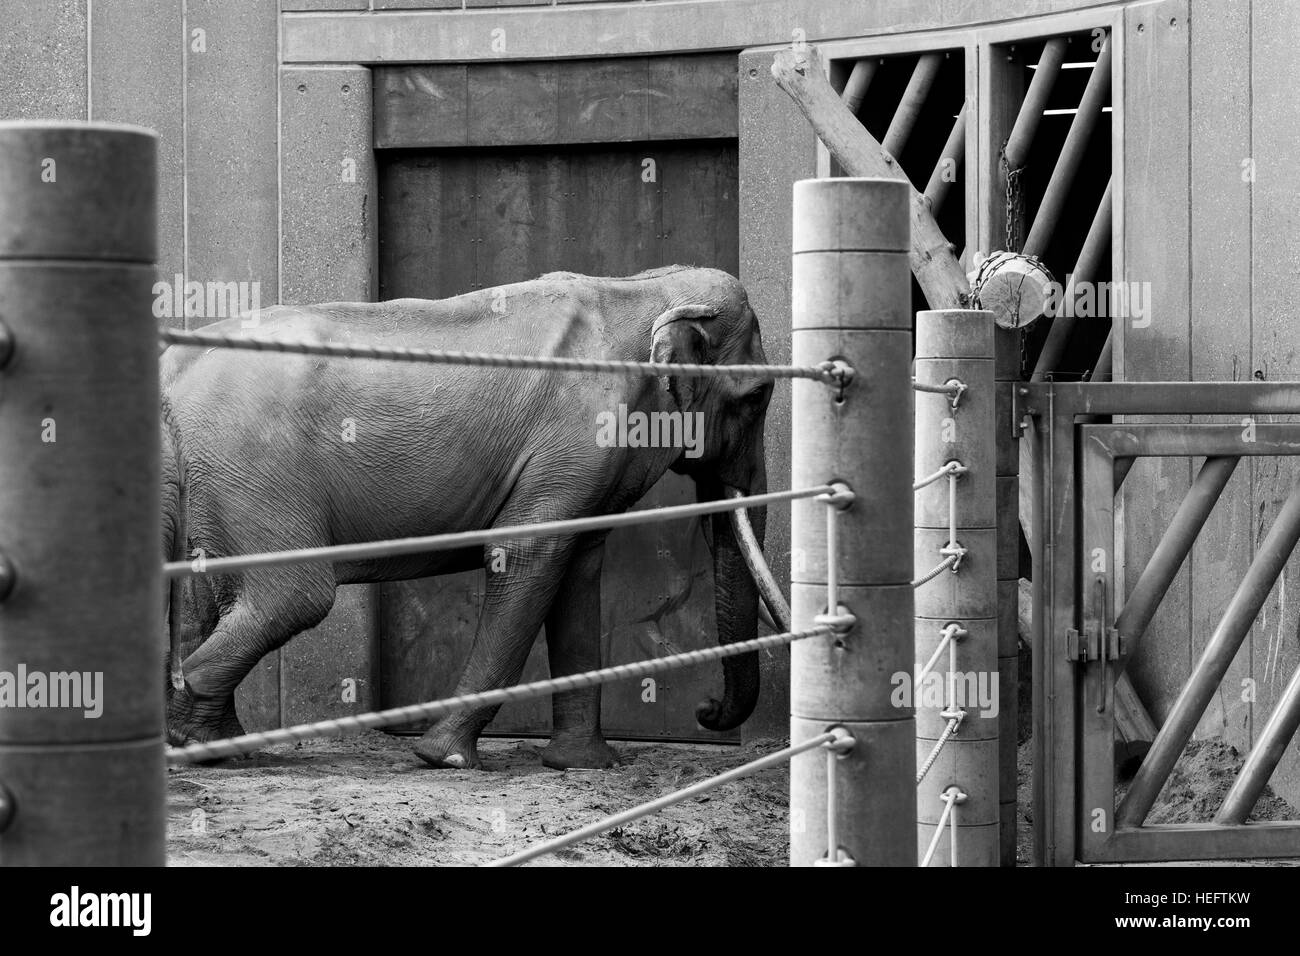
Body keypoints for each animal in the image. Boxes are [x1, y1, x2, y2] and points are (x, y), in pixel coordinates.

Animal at [160, 265, 780, 770]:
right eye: (758, 396)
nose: (705, 708)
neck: (644, 288)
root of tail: (173, 365)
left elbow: (578, 569)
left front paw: (584, 766)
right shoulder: (581, 435)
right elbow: (527, 551)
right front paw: (446, 758)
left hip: (211, 481)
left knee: (209, 600)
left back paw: (215, 744)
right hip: (250, 465)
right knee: (294, 595)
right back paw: (197, 737)